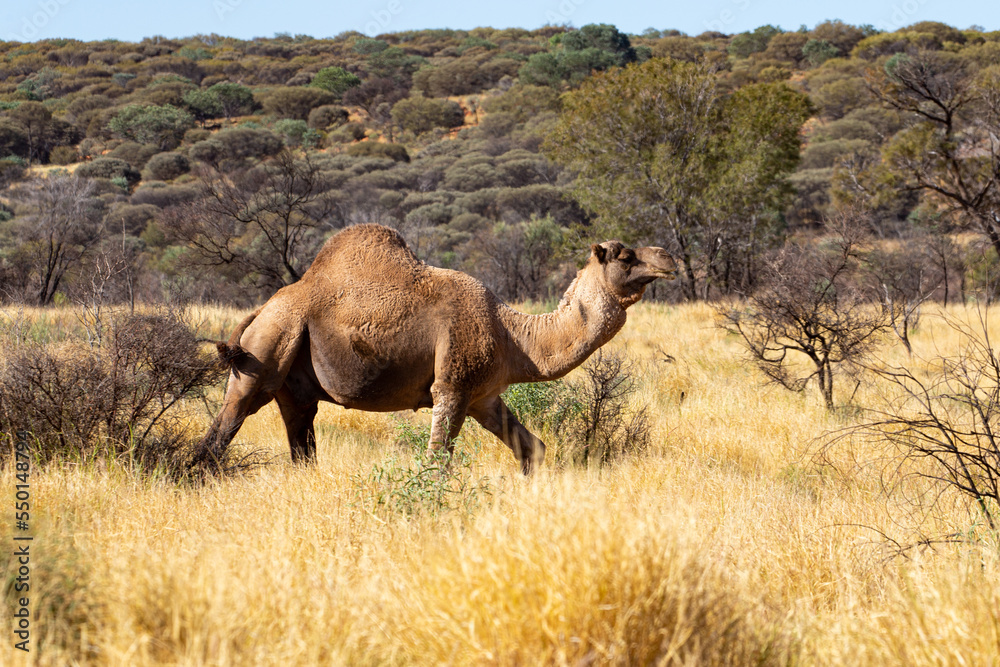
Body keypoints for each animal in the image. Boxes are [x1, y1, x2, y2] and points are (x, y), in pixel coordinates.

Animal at [200, 224, 677, 473]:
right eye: (626, 256)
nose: (669, 256)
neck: (512, 335)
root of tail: (263, 308)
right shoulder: (452, 386)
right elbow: (436, 461)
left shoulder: (484, 395)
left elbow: (532, 446)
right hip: (268, 349)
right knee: (224, 426)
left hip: (293, 382)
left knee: (301, 439)